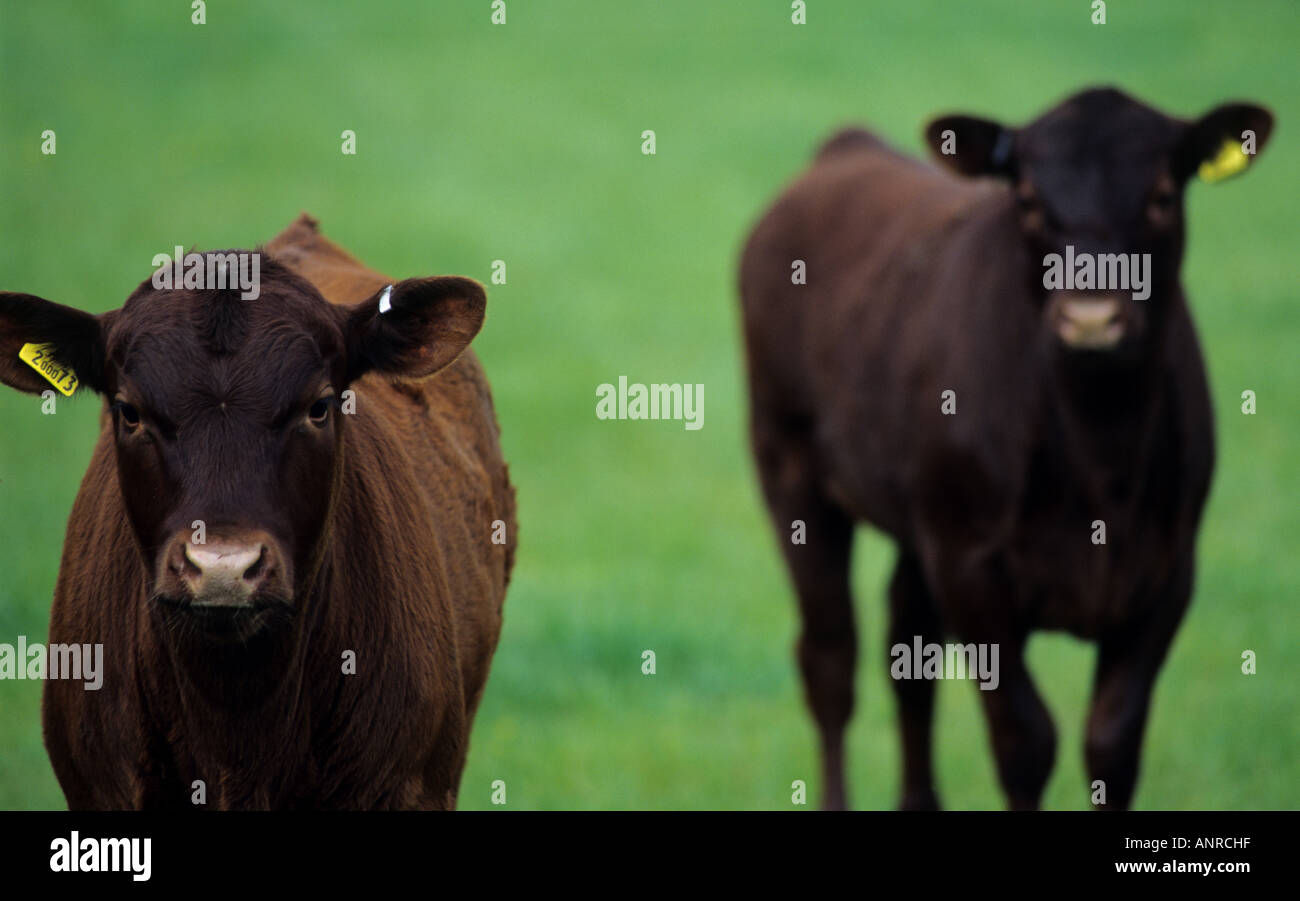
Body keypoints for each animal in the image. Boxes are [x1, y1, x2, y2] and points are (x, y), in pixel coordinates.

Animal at [738, 88, 1273, 810]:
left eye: (1163, 194)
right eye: (1026, 199)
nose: (1091, 317)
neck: (1101, 457)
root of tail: (846, 149)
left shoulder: (1169, 572)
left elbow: (1112, 742)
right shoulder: (972, 567)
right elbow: (1026, 740)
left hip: (918, 518)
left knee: (907, 649)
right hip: (790, 468)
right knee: (830, 661)